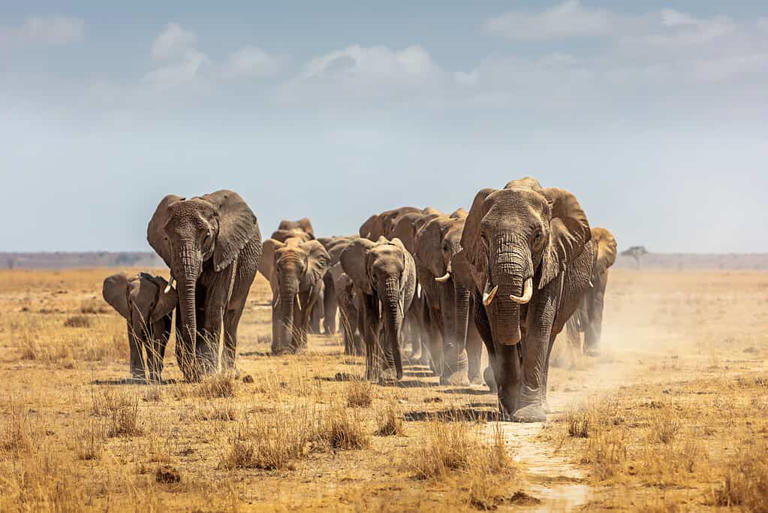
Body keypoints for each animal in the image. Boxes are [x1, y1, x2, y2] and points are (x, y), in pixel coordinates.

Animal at [147, 190, 262, 381]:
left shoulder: (226, 251)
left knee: (231, 318)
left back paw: (230, 372)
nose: (193, 370)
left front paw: (208, 371)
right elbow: (184, 305)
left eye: (207, 236)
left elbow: (214, 306)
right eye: (167, 238)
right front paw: (197, 371)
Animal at [340, 237, 416, 383]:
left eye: (401, 275)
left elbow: (394, 320)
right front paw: (371, 376)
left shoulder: (402, 287)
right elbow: (372, 319)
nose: (399, 376)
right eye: (374, 276)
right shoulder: (365, 282)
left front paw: (387, 376)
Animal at [413, 214, 483, 385]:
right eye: (445, 248)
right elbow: (449, 307)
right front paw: (453, 380)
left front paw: (469, 381)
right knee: (438, 317)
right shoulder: (439, 267)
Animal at [461, 177, 593, 422]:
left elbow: (540, 323)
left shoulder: (554, 257)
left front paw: (529, 416)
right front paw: (510, 412)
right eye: (483, 235)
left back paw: (542, 406)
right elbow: (497, 322)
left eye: (538, 235)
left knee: (549, 338)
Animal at [566, 227, 617, 357]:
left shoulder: (600, 270)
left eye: (588, 257)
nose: (581, 325)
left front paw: (593, 352)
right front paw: (573, 353)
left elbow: (596, 300)